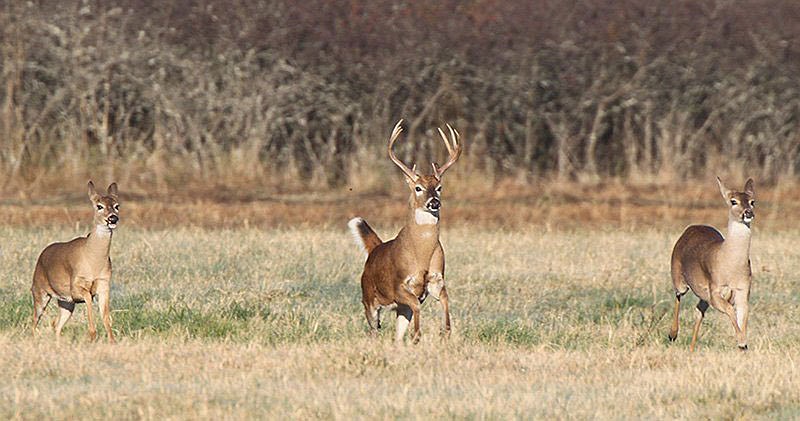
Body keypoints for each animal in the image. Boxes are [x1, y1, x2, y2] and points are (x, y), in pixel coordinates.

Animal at [31, 181, 120, 343]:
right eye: (99, 206)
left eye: (117, 205)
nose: (113, 218)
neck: (93, 262)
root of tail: (42, 254)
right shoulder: (75, 286)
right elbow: (89, 299)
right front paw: (92, 334)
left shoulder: (104, 284)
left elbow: (105, 315)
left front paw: (112, 341)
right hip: (39, 291)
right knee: (35, 319)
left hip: (66, 302)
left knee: (56, 323)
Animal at [348, 119, 462, 343]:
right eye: (418, 187)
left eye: (440, 187)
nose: (434, 202)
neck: (421, 254)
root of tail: (375, 250)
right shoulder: (399, 285)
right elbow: (416, 304)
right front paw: (417, 334)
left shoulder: (436, 279)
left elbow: (445, 299)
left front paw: (445, 331)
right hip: (368, 298)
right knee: (374, 328)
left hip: (399, 308)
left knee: (396, 335)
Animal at [669, 177, 755, 352]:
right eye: (733, 201)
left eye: (752, 201)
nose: (748, 213)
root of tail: (690, 229)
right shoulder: (714, 290)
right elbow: (730, 310)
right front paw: (741, 341)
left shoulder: (743, 290)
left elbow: (743, 317)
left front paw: (743, 344)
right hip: (678, 276)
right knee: (678, 294)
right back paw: (672, 334)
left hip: (703, 296)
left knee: (698, 310)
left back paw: (691, 349)